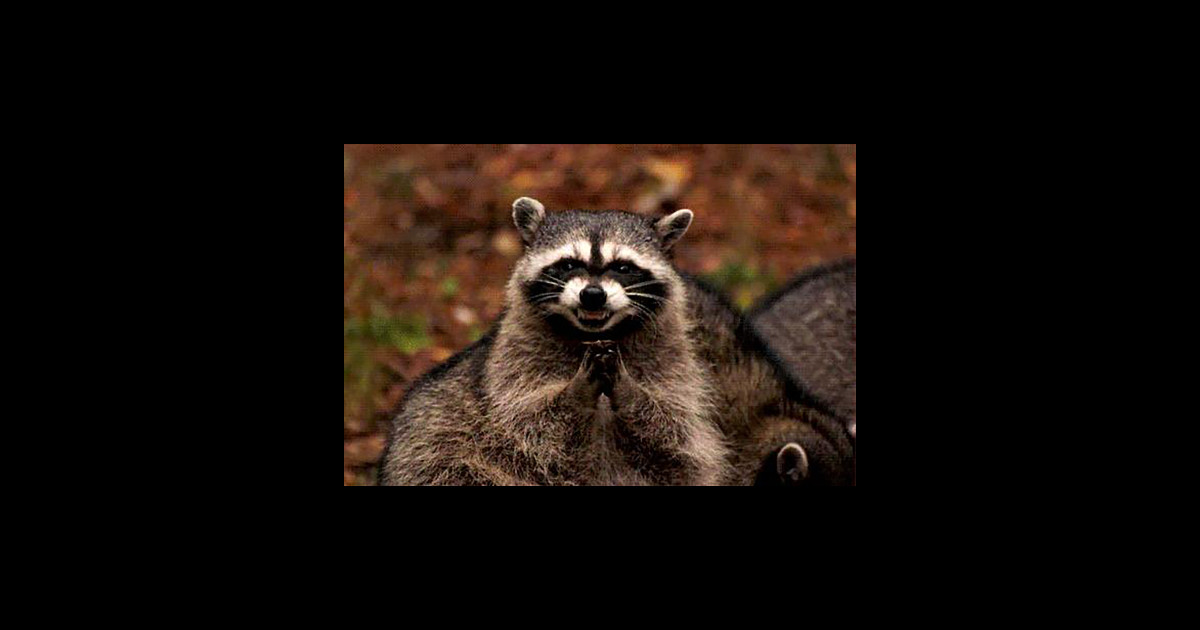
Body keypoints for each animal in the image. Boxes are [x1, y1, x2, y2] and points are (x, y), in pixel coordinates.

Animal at [379, 198, 729, 485]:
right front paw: (576, 392)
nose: (592, 295)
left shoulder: (670, 361)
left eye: (623, 267)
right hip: (438, 447)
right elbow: (530, 424)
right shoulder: (512, 362)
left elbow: (675, 436)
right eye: (569, 264)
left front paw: (630, 390)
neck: (591, 335)